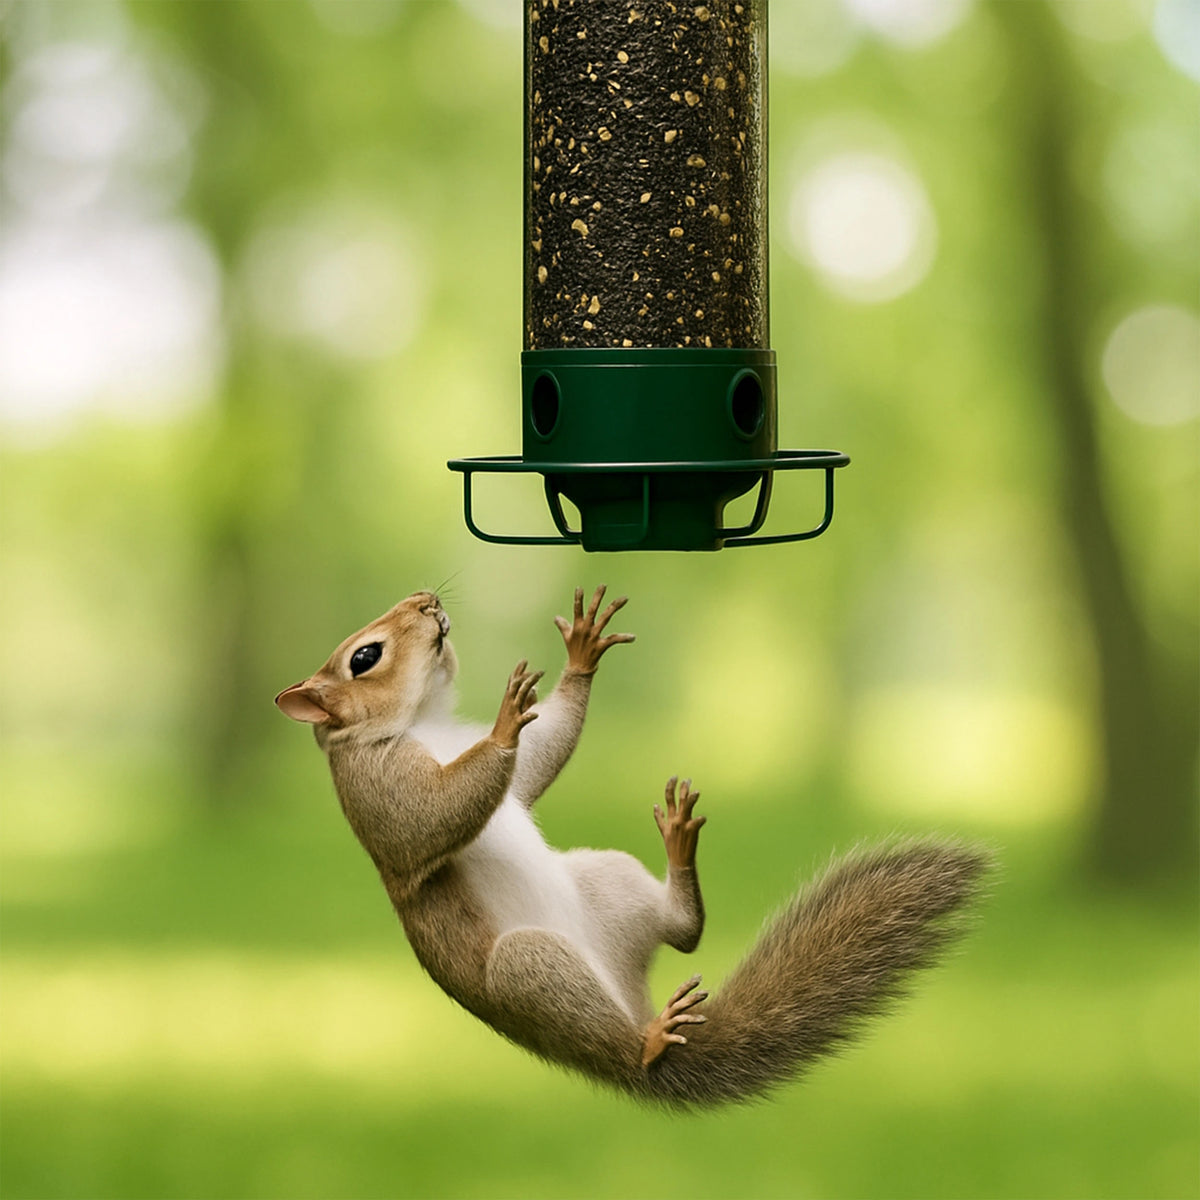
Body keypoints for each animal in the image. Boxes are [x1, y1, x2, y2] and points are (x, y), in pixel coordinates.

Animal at [275, 585, 991, 1108]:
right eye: (364, 658)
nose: (426, 597)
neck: (428, 724)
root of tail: (632, 1004)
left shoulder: (508, 778)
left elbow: (537, 755)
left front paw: (580, 652)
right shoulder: (381, 795)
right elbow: (431, 819)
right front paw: (508, 719)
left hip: (609, 880)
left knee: (682, 931)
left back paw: (677, 852)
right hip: (528, 971)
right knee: (616, 1026)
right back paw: (646, 1042)